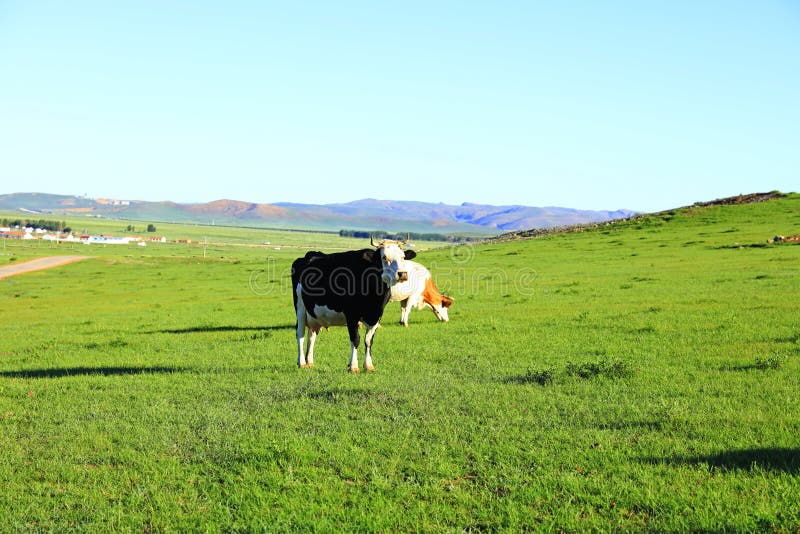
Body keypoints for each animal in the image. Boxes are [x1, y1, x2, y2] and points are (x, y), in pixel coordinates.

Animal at [292, 237, 416, 372]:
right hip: (300, 308)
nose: (402, 274)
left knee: (312, 335)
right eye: (384, 257)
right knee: (300, 334)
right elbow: (355, 339)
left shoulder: (377, 315)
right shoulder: (351, 314)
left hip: (313, 314)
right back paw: (302, 362)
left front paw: (368, 365)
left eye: (403, 257)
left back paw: (310, 362)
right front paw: (353, 366)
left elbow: (369, 340)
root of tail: (310, 255)